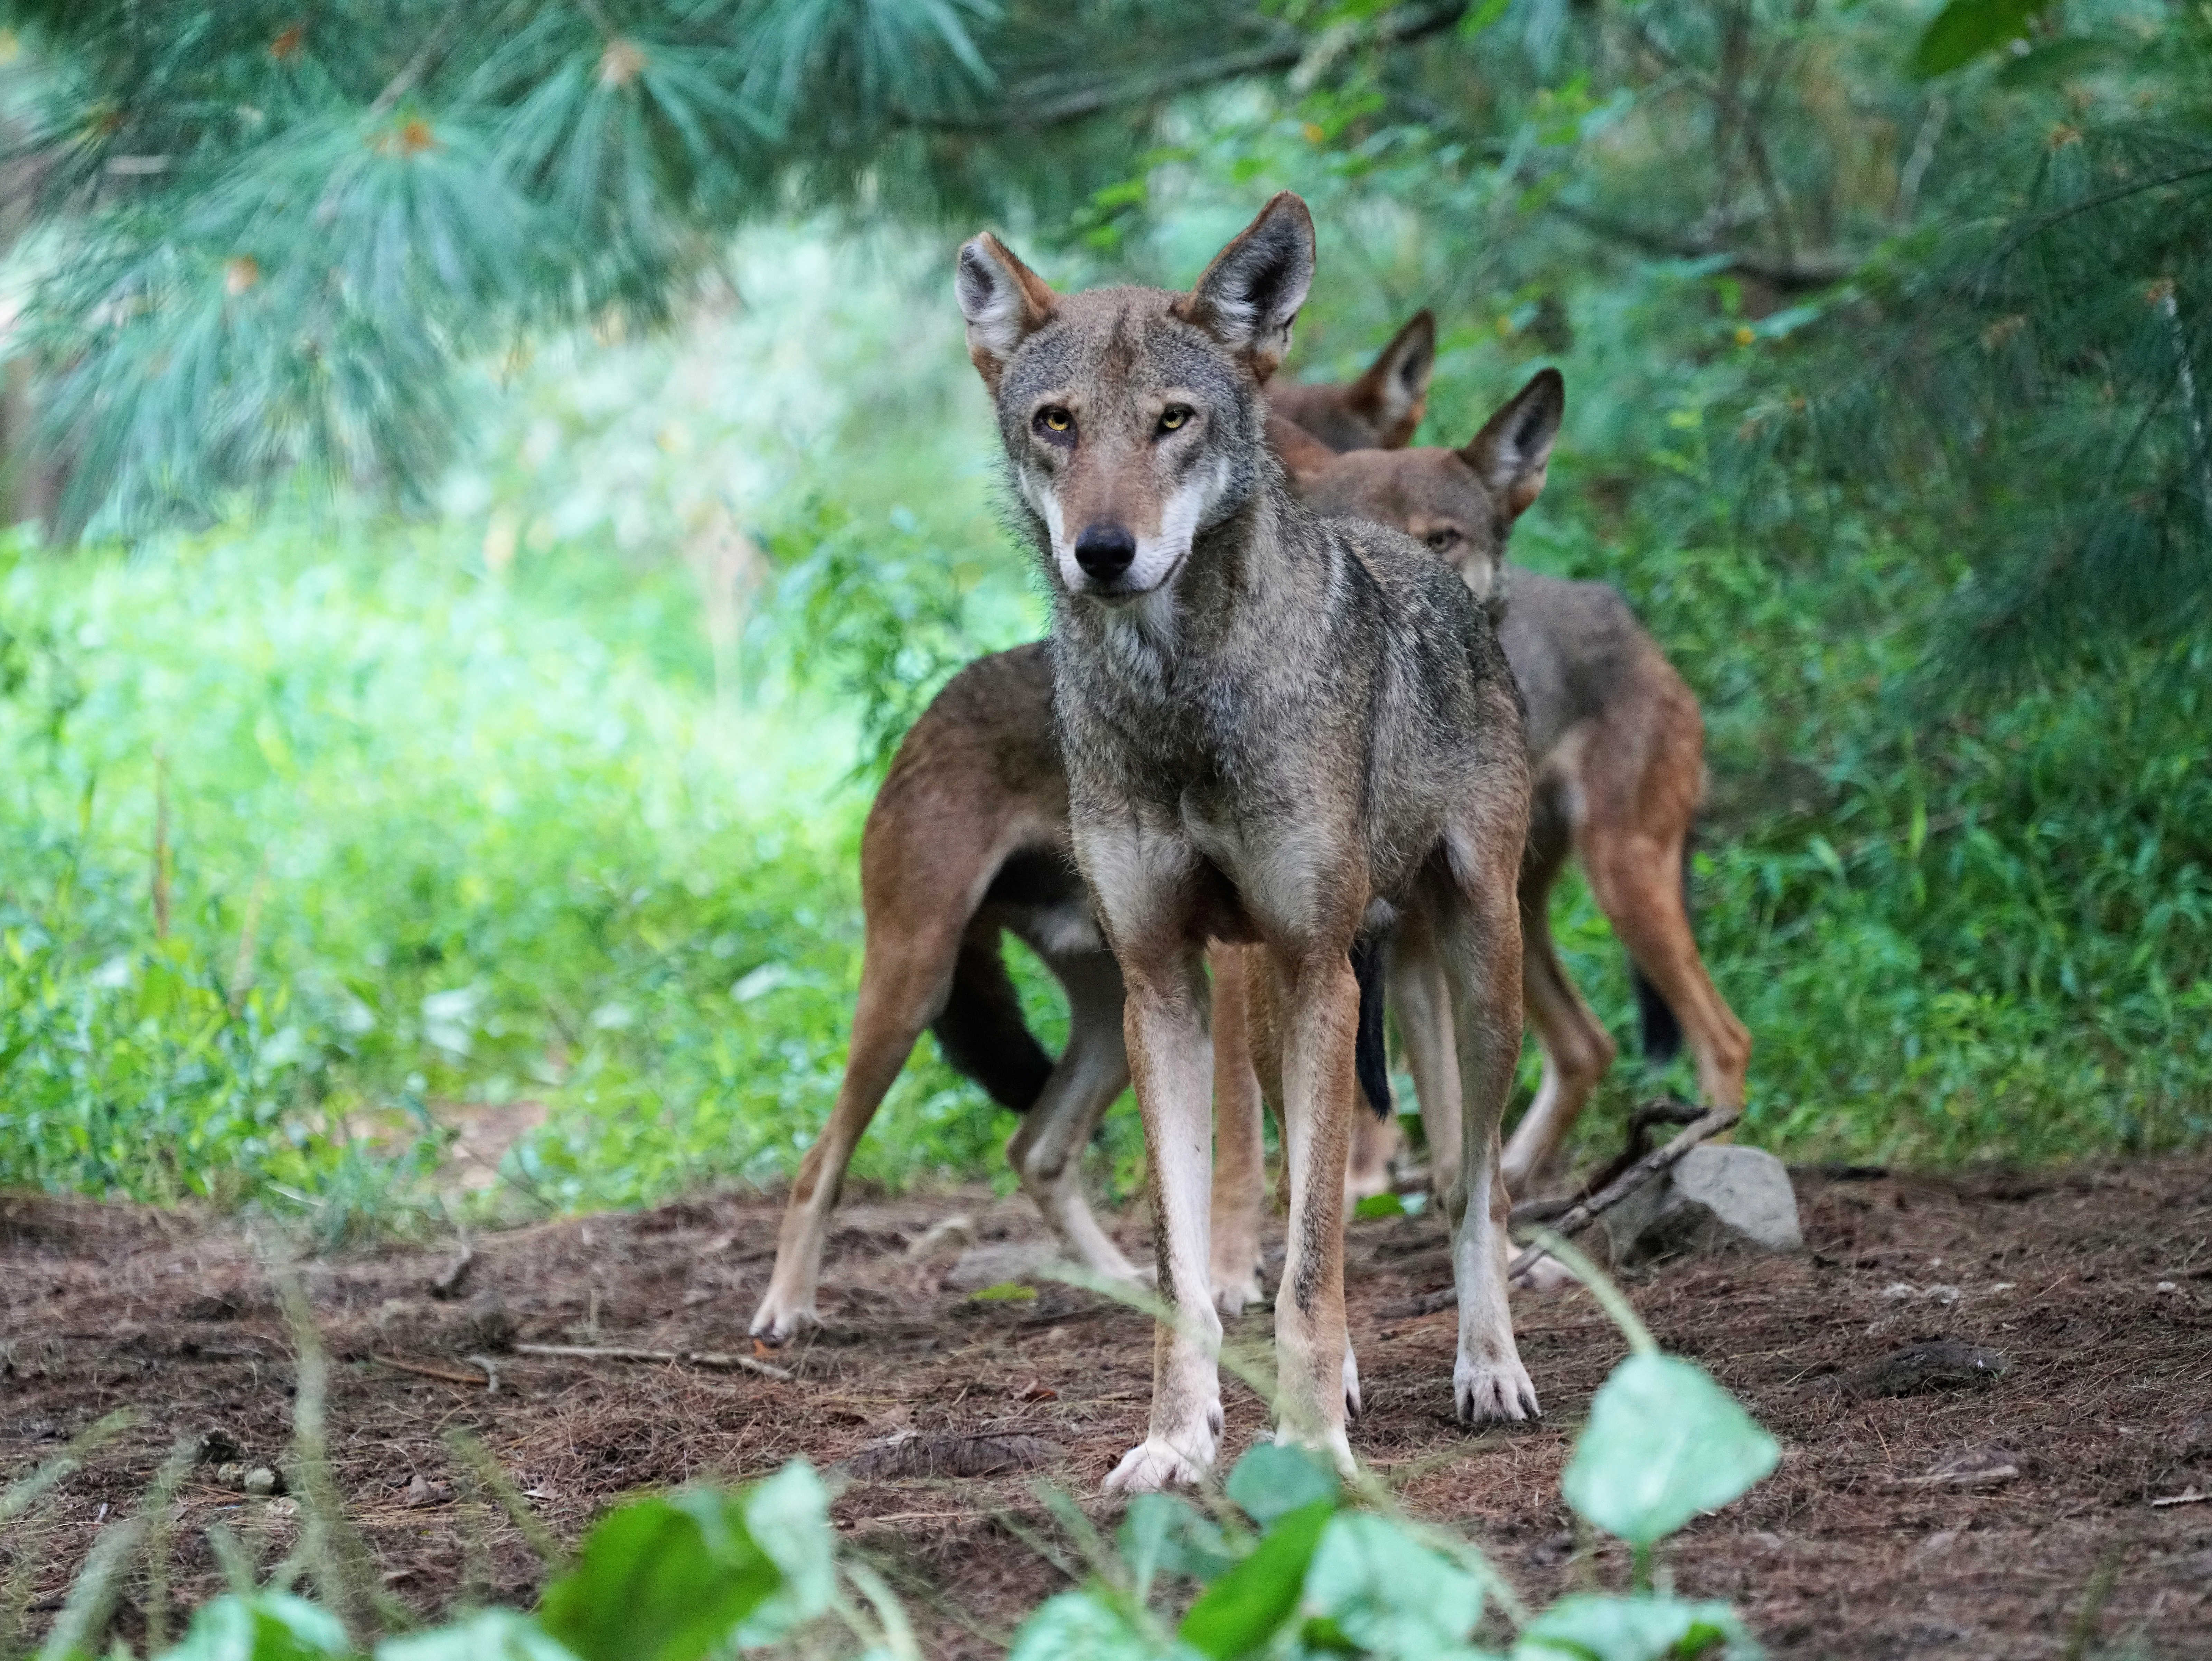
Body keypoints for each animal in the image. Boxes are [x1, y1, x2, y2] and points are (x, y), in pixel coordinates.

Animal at [953, 193, 1537, 1488]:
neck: (1179, 700)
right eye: (1057, 423)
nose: (1103, 552)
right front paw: (1177, 1443)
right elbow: (1192, 1267)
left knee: (1473, 1184)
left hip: (1476, 970)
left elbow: (1321, 1257)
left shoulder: (1321, 968)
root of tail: (1429, 571)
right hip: (1271, 1004)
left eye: (1174, 421)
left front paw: (1311, 1447)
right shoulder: (1164, 984)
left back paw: (1488, 1366)